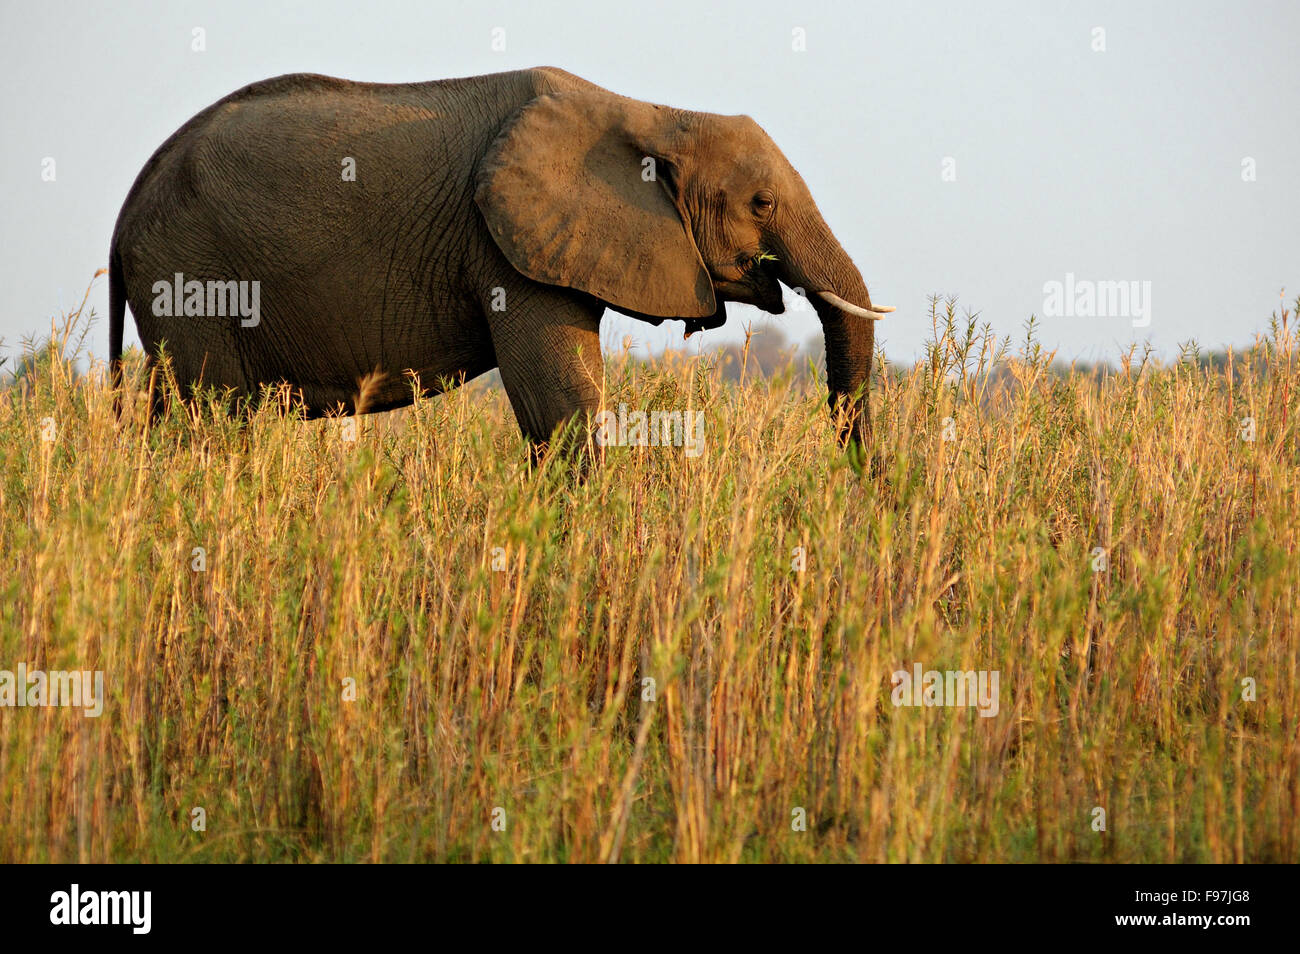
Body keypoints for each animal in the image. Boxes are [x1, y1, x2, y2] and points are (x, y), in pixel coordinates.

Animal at [108, 67, 893, 453]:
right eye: (762, 202)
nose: (860, 476)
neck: (651, 112)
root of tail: (124, 214)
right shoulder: (505, 249)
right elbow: (561, 406)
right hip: (193, 278)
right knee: (211, 421)